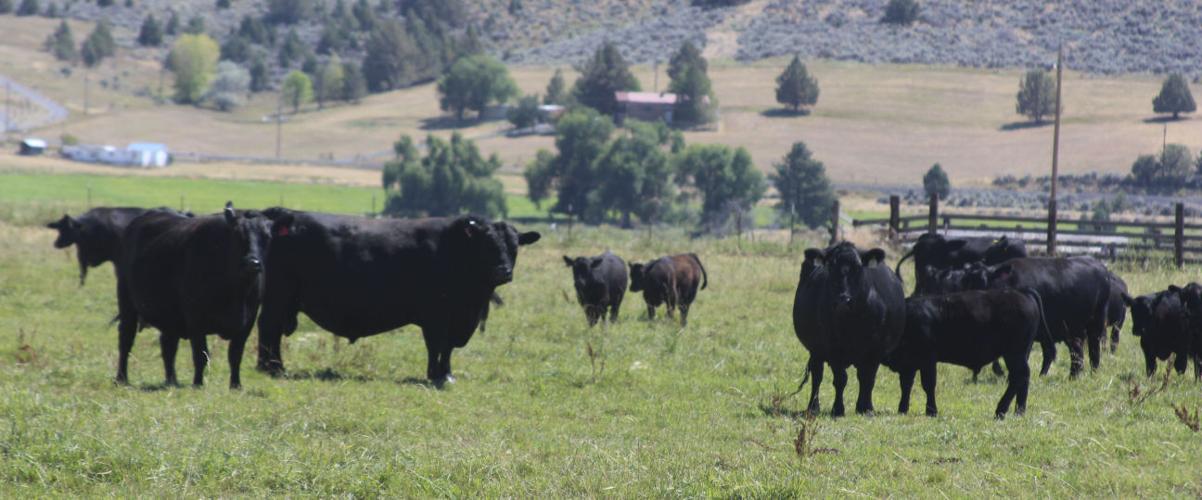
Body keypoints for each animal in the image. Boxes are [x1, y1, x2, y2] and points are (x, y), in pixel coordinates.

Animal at [46, 207, 191, 285]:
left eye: (68, 228)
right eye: (59, 228)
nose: (56, 243)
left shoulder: (118, 259)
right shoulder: (82, 256)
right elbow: (83, 274)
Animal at [116, 202, 270, 389]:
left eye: (267, 237)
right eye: (238, 234)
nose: (253, 263)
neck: (236, 291)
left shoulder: (247, 322)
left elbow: (235, 355)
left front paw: (236, 385)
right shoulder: (196, 320)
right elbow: (201, 355)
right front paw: (198, 383)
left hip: (169, 317)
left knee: (168, 346)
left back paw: (172, 380)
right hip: (127, 304)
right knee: (126, 340)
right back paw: (121, 378)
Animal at [254, 209, 540, 386]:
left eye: (514, 246)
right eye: (487, 244)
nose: (503, 271)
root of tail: (283, 214)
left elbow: (446, 349)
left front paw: (446, 374)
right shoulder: (437, 316)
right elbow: (437, 346)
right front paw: (436, 374)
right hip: (278, 298)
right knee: (268, 329)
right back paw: (273, 368)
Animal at [793, 242, 906, 417]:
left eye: (858, 268)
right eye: (830, 267)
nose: (843, 300)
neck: (851, 323)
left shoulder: (875, 351)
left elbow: (868, 380)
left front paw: (866, 408)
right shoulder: (833, 349)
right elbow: (841, 380)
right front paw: (838, 409)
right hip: (816, 350)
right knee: (817, 376)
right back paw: (813, 407)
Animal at [884, 288, 1051, 419]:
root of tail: (1023, 293)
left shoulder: (928, 359)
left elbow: (928, 385)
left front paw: (931, 411)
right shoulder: (909, 364)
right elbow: (906, 385)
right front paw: (902, 409)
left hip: (1015, 354)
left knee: (1019, 377)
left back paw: (1002, 411)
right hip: (1020, 355)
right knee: (1021, 380)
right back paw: (1018, 411)